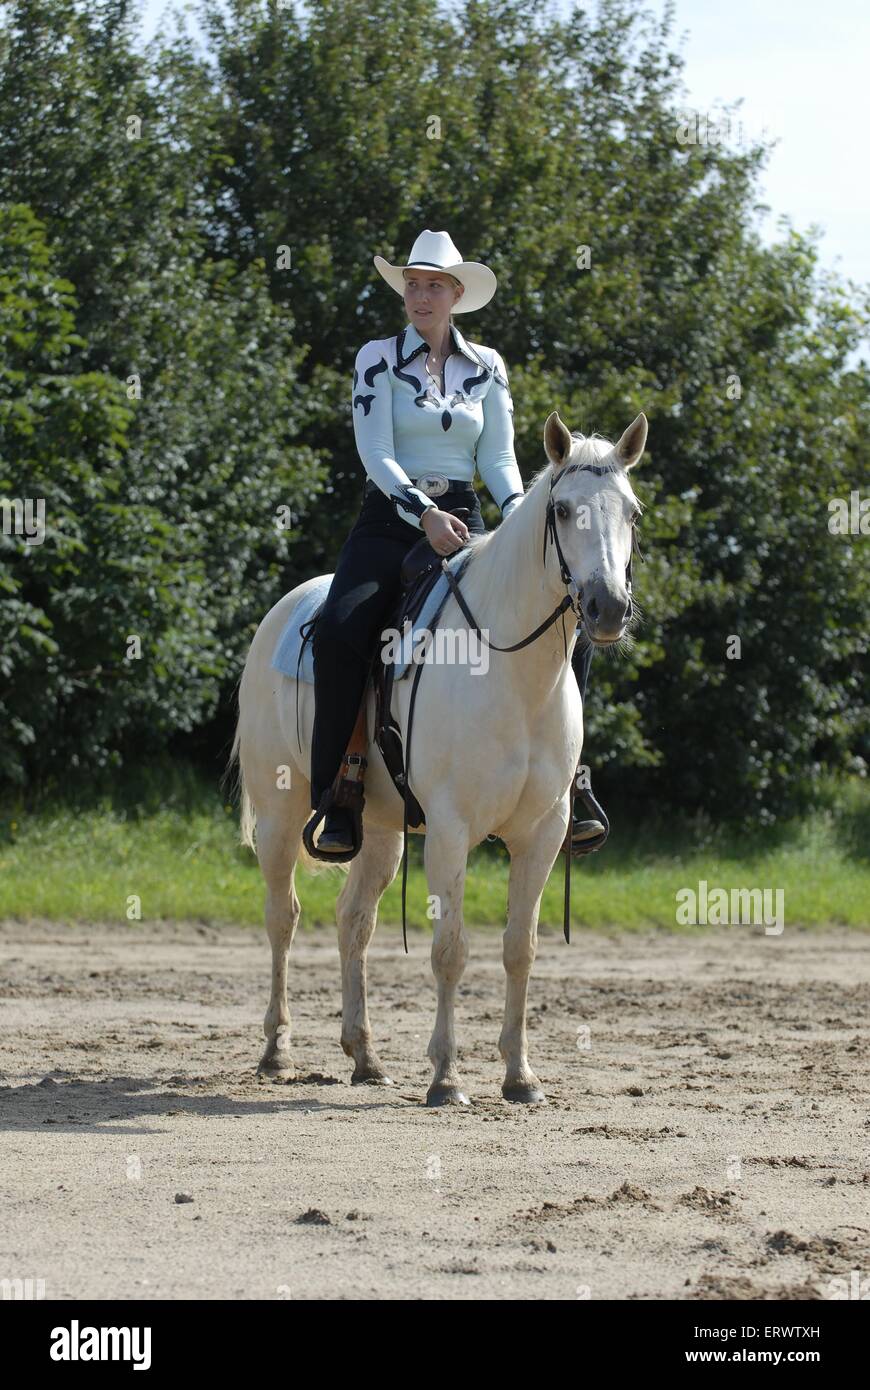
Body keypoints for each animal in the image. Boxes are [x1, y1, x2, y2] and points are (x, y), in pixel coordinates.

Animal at [229, 409, 647, 1105]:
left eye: (633, 512)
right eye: (562, 510)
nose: (607, 607)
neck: (512, 672)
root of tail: (283, 613)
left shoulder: (543, 832)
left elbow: (519, 947)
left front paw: (520, 1076)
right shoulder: (451, 829)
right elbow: (450, 948)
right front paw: (447, 1077)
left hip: (378, 829)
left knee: (353, 921)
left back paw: (365, 1056)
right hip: (280, 815)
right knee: (281, 918)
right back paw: (276, 1051)